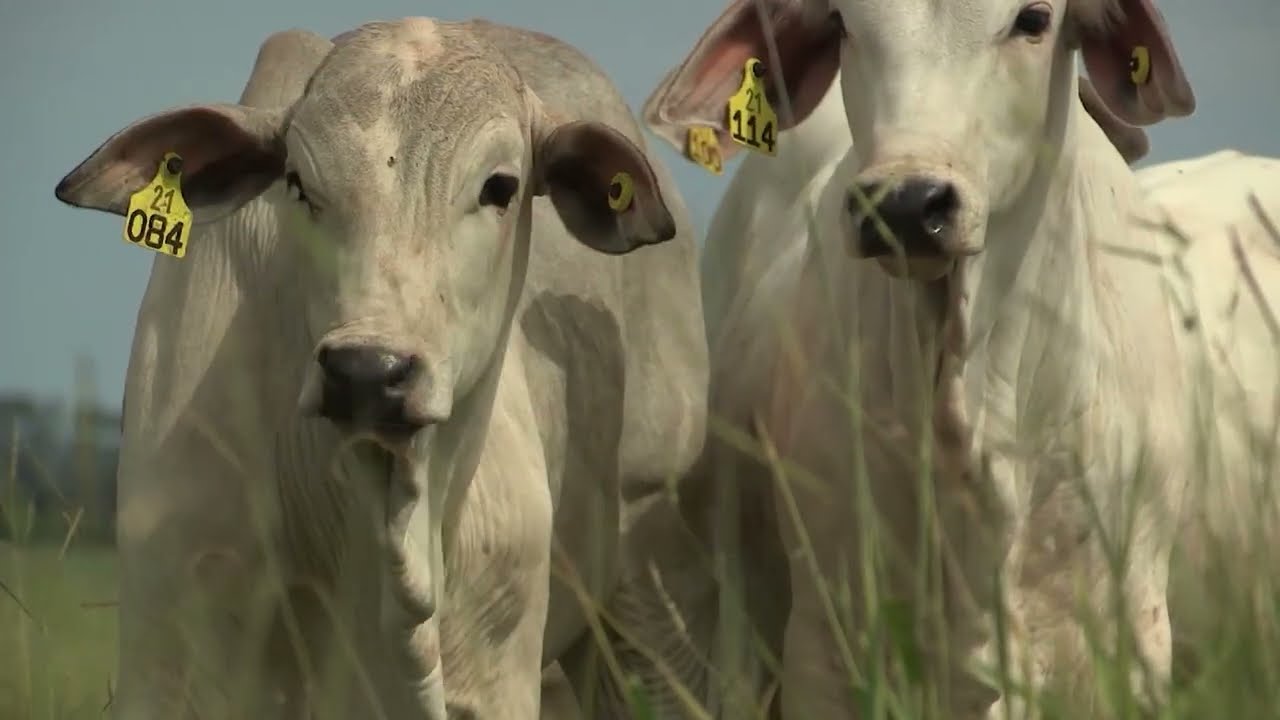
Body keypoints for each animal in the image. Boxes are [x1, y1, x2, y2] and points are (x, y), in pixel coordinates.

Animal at [53, 19, 708, 720]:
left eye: (500, 187)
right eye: (296, 182)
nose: (367, 370)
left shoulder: (499, 681)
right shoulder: (169, 666)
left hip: (651, 613)